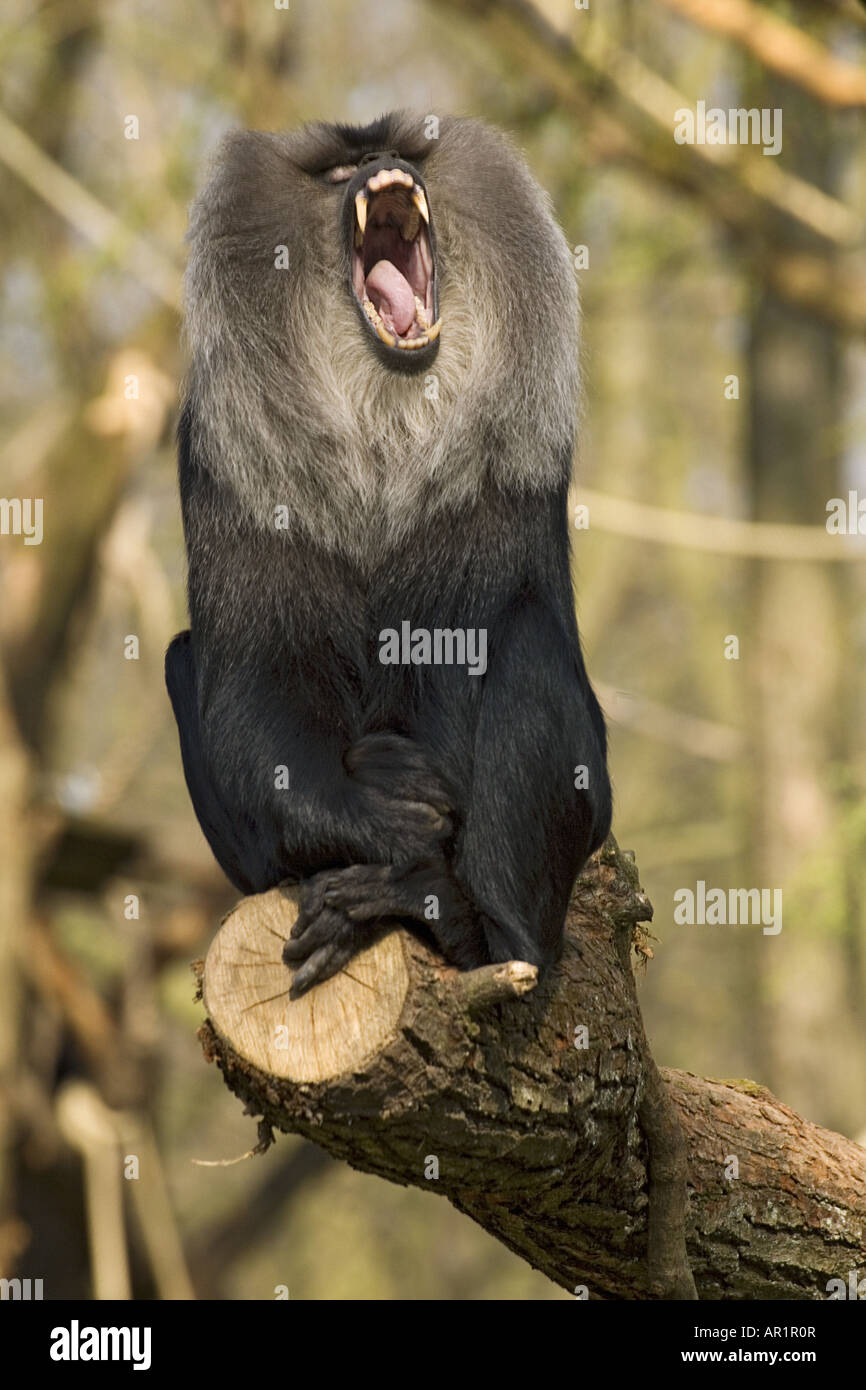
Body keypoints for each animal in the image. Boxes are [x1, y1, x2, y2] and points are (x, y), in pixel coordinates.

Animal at [166, 111, 612, 999]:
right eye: (342, 171)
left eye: (401, 150)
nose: (382, 161)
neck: (386, 413)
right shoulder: (228, 462)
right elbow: (252, 685)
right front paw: (384, 811)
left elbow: (461, 646)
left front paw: (412, 851)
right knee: (179, 655)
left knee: (529, 639)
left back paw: (460, 922)